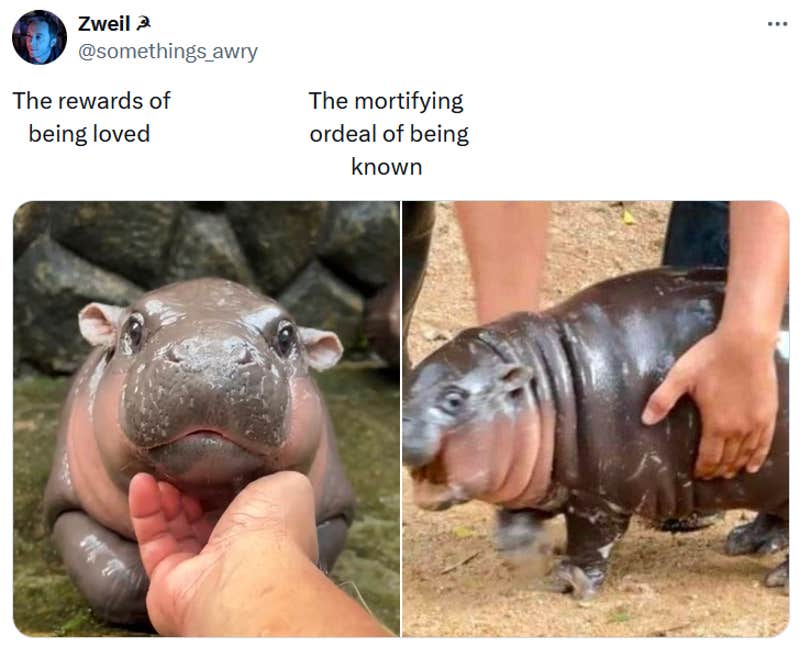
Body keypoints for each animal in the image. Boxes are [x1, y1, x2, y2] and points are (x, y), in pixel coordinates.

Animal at [43, 278, 356, 624]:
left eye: (287, 336)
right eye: (133, 329)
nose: (211, 357)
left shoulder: (337, 511)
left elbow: (320, 552)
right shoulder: (65, 505)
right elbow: (115, 578)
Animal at [403, 267, 788, 598]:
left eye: (454, 398)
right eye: (407, 379)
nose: (401, 423)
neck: (547, 387)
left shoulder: (599, 499)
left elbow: (590, 541)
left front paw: (568, 581)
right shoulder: (540, 483)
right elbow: (516, 517)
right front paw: (524, 553)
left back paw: (778, 580)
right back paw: (746, 542)